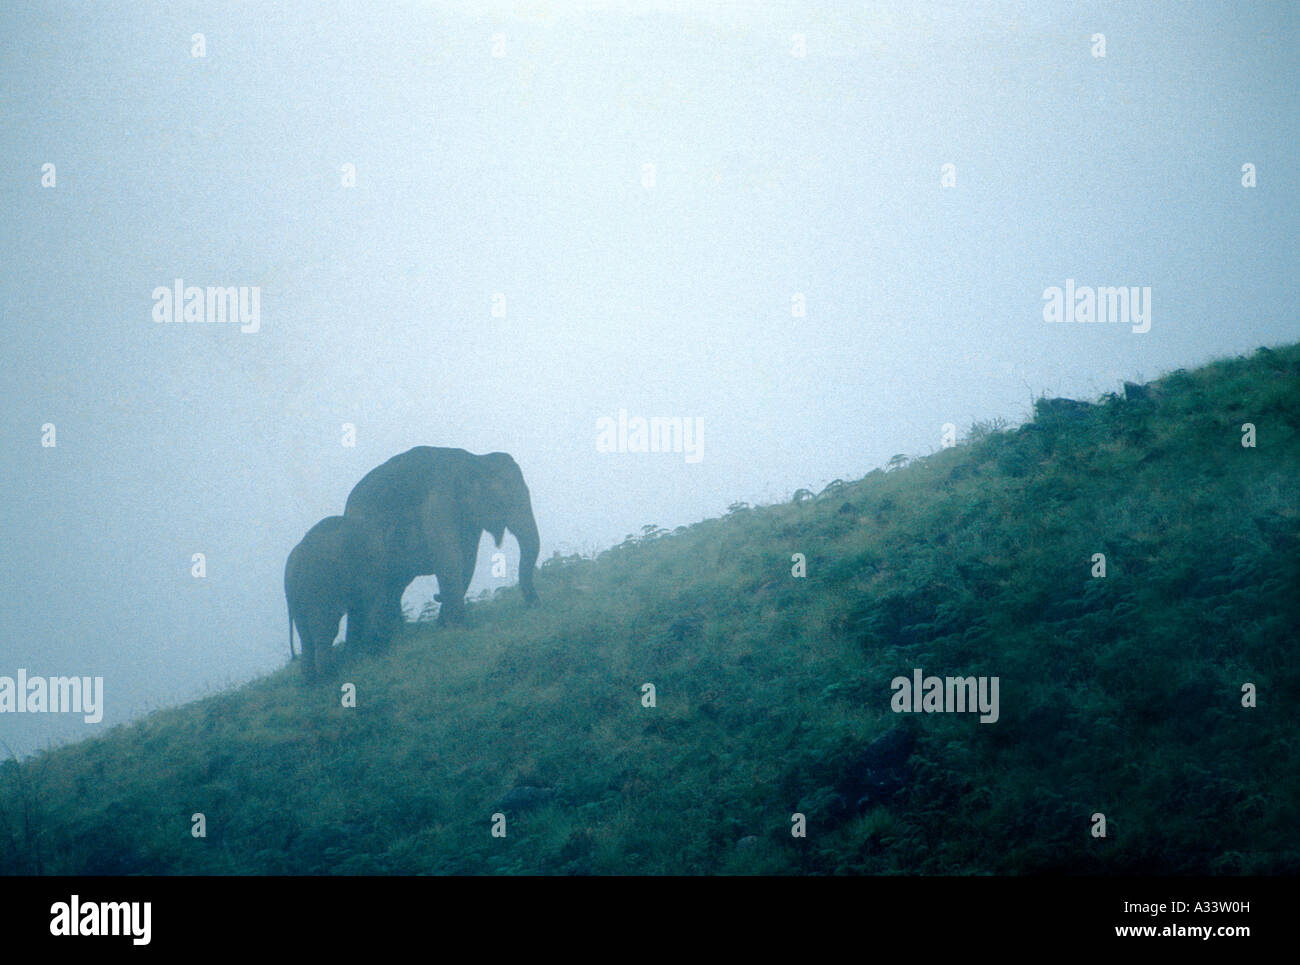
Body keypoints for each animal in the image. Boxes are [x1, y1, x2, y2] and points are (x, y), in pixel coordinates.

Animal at [284, 514, 387, 680]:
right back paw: (330, 675)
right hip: (318, 588)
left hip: (295, 599)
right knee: (326, 631)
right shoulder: (369, 567)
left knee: (306, 638)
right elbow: (372, 600)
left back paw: (310, 681)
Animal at [343, 447, 540, 633]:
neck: (473, 459)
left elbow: (467, 560)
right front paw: (458, 628)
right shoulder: (437, 502)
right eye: (504, 501)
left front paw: (445, 626)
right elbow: (450, 558)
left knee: (394, 587)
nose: (532, 605)